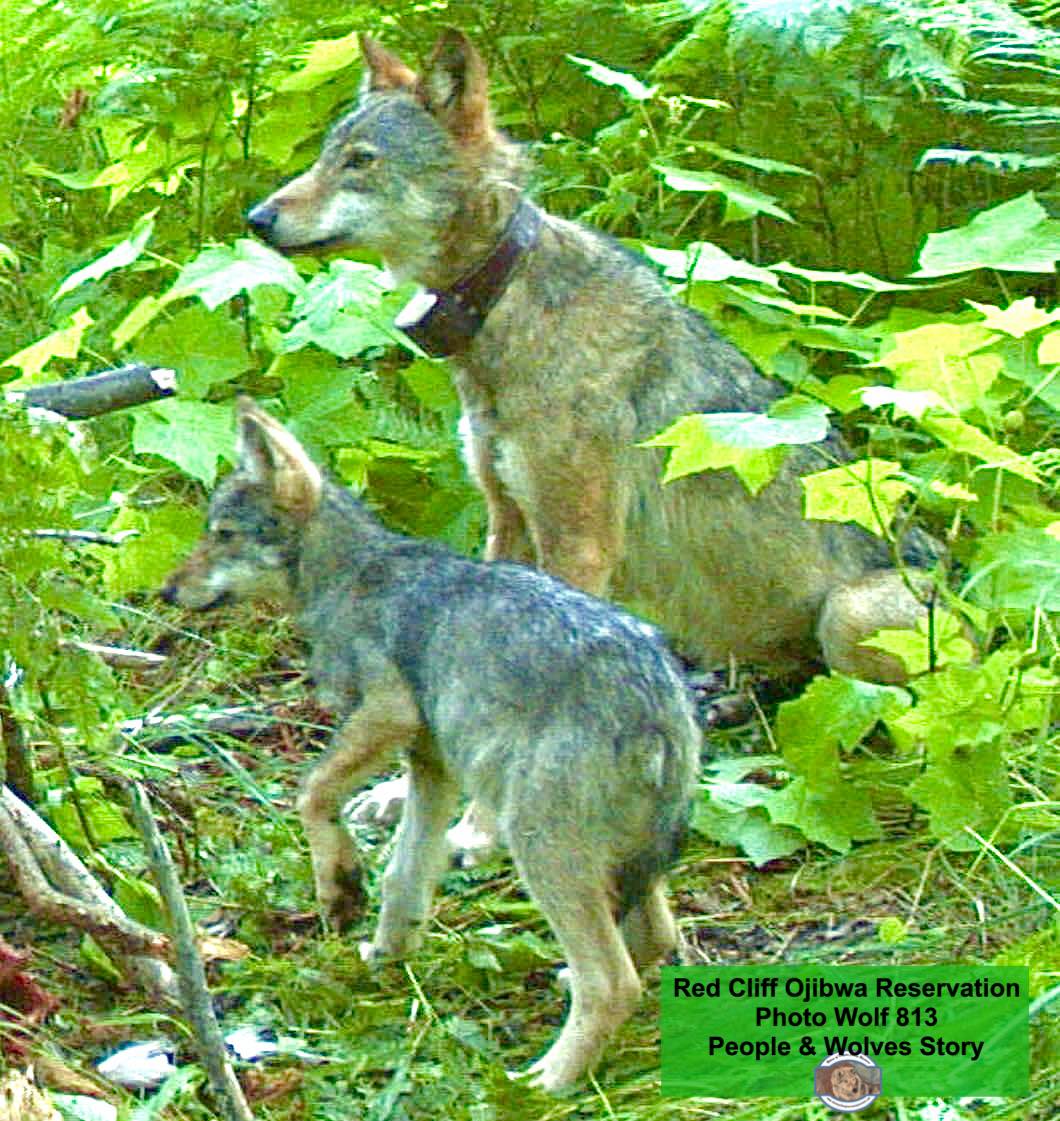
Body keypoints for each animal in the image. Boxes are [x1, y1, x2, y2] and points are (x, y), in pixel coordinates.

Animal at [162, 398, 700, 1093]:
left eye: (223, 534)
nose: (167, 591)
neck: (353, 574)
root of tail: (661, 696)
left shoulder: (389, 713)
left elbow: (311, 793)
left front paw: (340, 888)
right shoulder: (431, 764)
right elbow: (406, 872)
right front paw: (386, 952)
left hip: (539, 845)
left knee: (613, 984)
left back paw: (545, 1082)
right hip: (620, 855)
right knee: (656, 939)